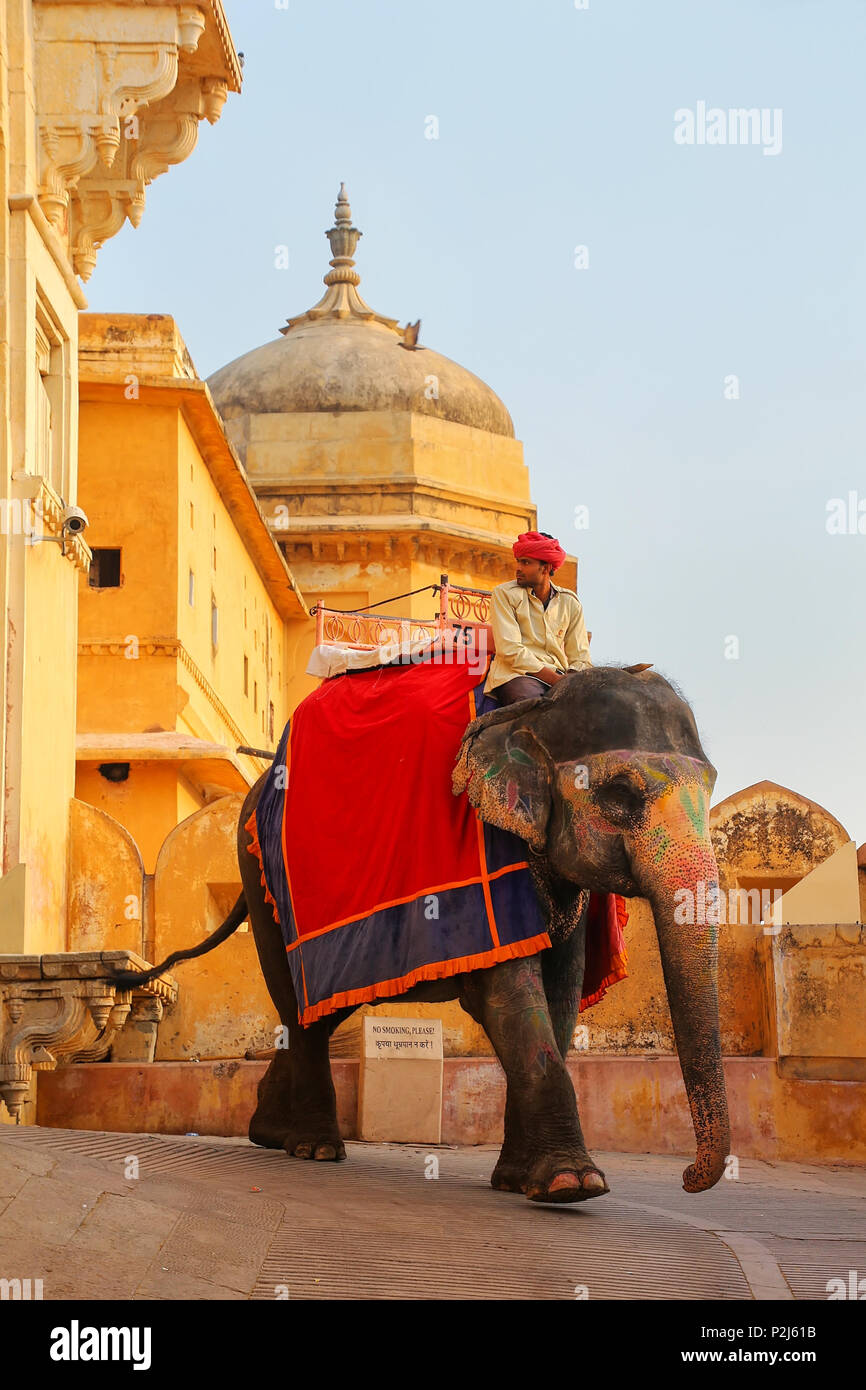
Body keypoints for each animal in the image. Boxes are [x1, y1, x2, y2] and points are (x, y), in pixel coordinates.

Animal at [121, 664, 730, 1206]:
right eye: (619, 794)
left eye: (711, 787)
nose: (688, 1179)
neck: (536, 712)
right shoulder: (485, 858)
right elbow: (513, 995)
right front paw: (572, 1185)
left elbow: (561, 994)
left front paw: (518, 1181)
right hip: (262, 876)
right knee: (301, 1007)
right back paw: (316, 1149)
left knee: (320, 1011)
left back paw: (270, 1134)